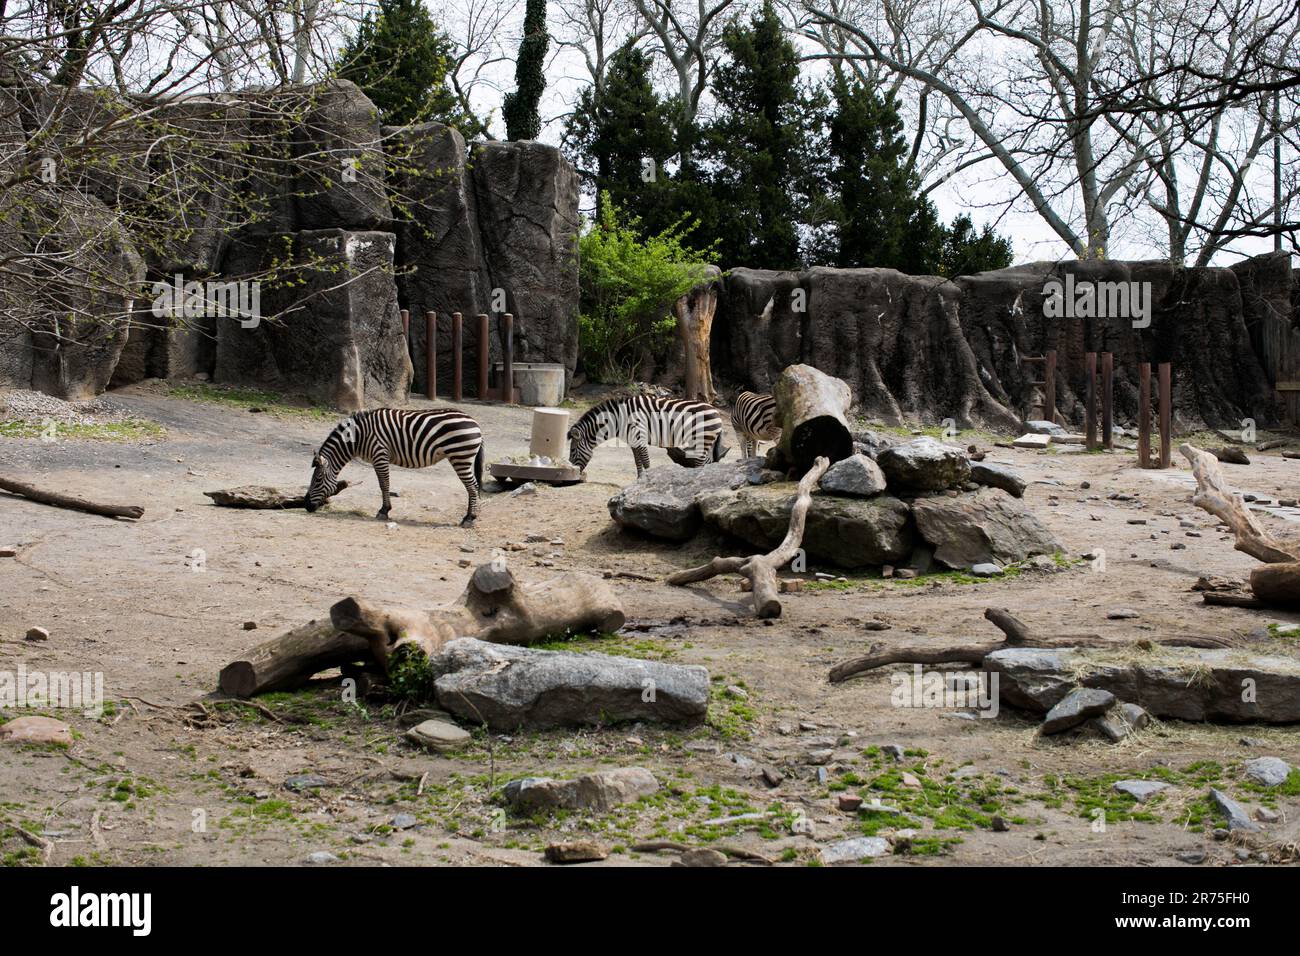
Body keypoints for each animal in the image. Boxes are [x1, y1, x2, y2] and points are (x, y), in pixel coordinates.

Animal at [306, 408, 485, 526]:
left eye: (317, 480)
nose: (306, 505)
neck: (359, 437)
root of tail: (475, 423)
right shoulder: (377, 459)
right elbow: (383, 484)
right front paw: (385, 509)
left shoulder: (380, 455)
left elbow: (384, 484)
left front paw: (384, 511)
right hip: (462, 457)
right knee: (472, 486)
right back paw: (468, 517)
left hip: (460, 456)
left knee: (472, 486)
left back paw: (469, 519)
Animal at [567, 395, 726, 477]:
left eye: (572, 451)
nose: (573, 471)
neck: (620, 418)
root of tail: (716, 412)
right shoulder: (633, 441)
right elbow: (638, 462)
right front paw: (639, 481)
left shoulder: (640, 436)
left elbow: (646, 461)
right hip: (706, 442)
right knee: (708, 462)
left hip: (703, 439)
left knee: (700, 464)